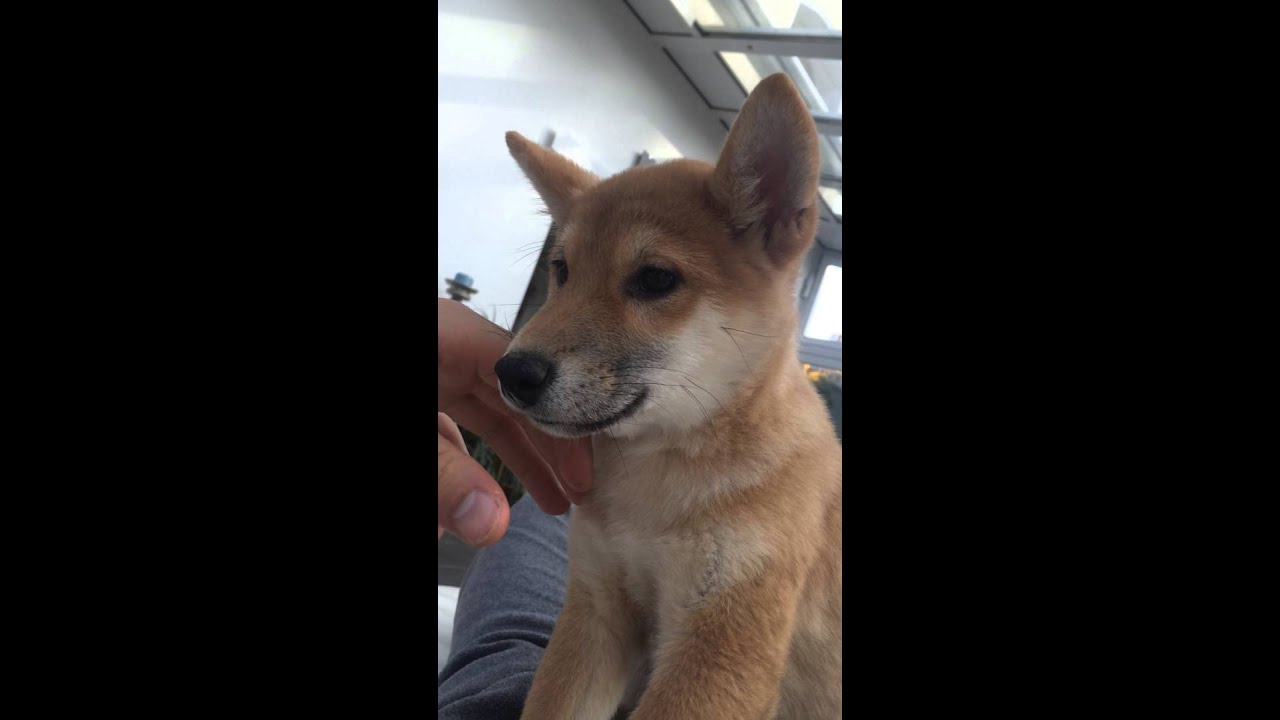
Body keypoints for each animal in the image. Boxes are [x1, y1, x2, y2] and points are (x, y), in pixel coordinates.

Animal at [494, 73, 842, 719]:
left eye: (655, 279)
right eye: (562, 270)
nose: (511, 371)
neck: (652, 492)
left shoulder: (721, 646)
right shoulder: (596, 612)